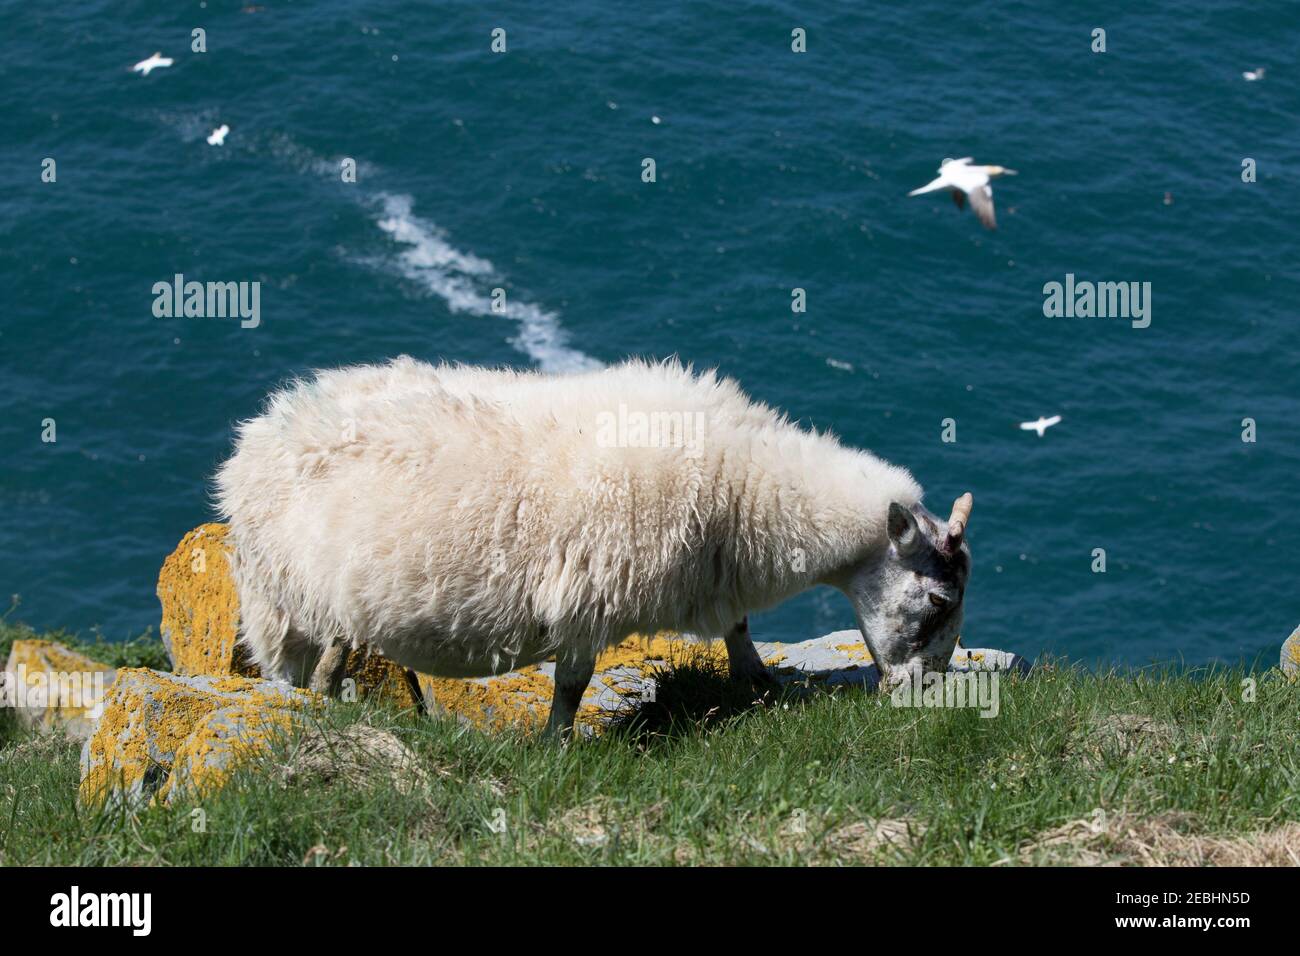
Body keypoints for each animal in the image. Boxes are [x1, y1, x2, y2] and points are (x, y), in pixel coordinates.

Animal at [215, 356, 974, 737]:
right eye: (939, 601)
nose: (924, 697)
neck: (742, 484)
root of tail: (257, 437)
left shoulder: (711, 571)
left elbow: (737, 626)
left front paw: (759, 681)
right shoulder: (589, 595)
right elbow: (572, 684)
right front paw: (556, 746)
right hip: (287, 598)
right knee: (307, 670)